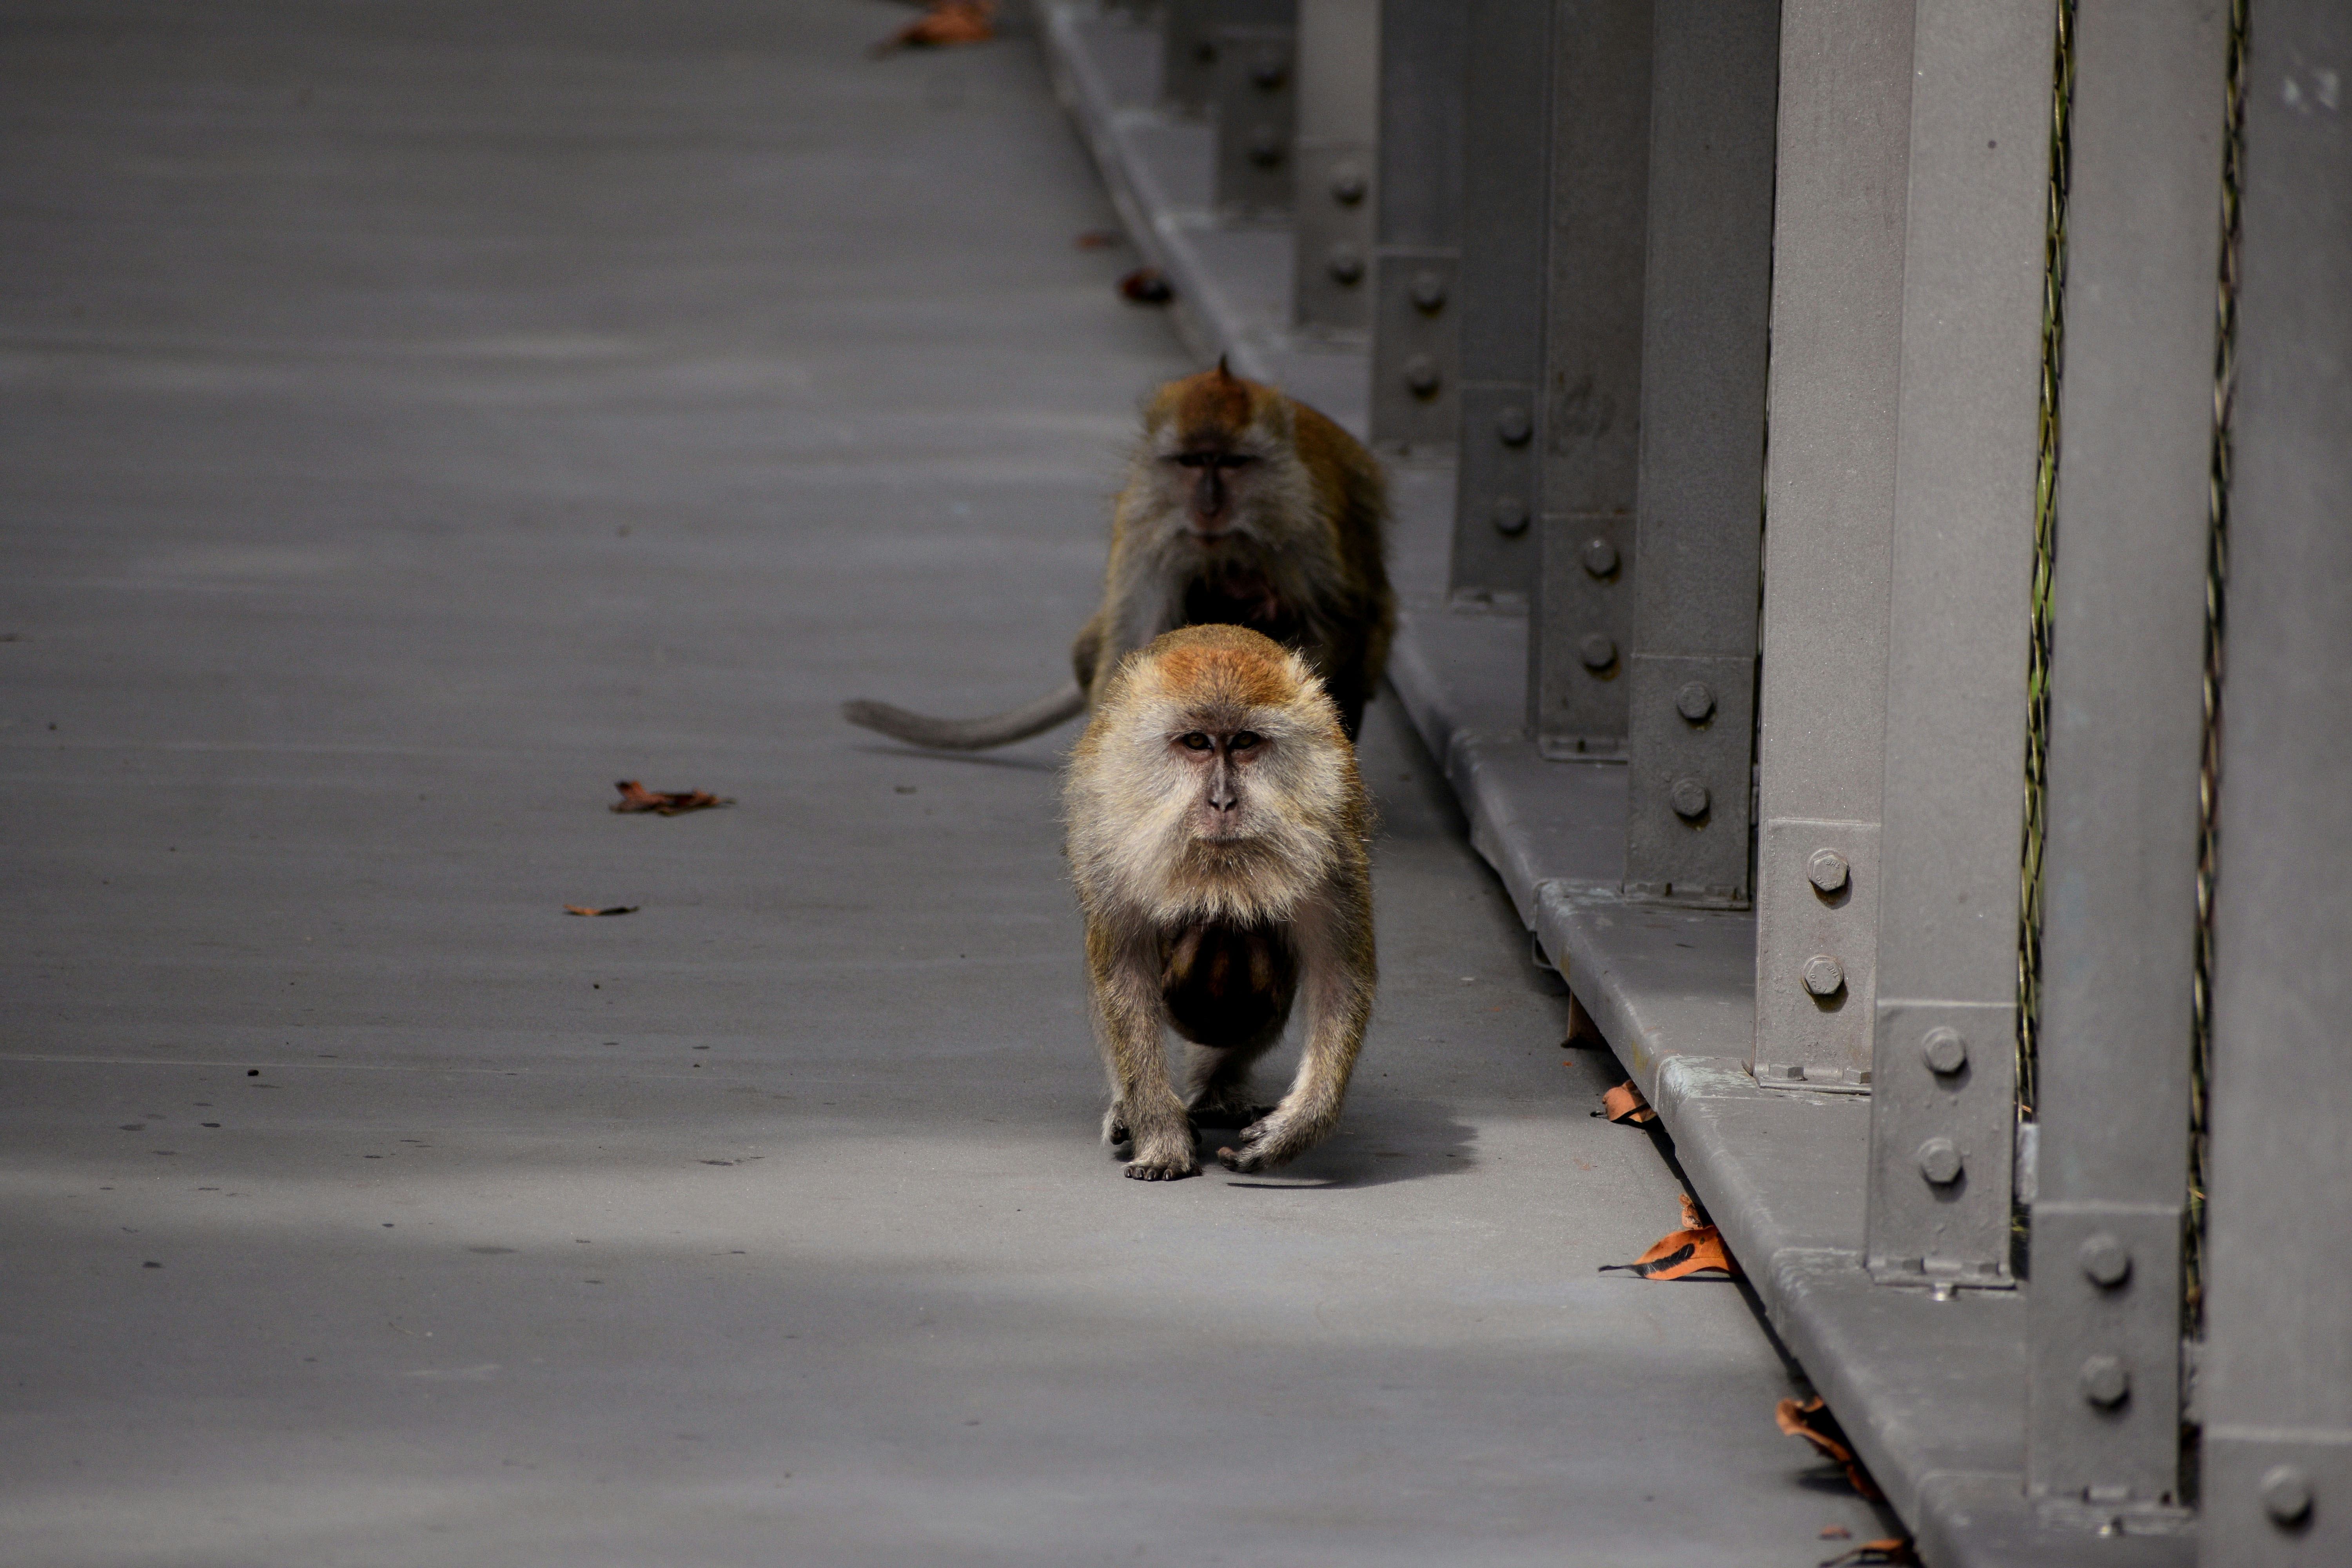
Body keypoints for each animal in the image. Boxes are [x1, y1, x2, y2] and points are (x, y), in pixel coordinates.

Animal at [843, 359, 1393, 750]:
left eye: (1233, 464)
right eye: (1192, 463)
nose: (1209, 505)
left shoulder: (1304, 524)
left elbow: (1333, 624)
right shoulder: (1146, 527)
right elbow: (1137, 648)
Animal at [1063, 623, 1376, 1180]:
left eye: (1246, 742)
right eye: (1197, 742)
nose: (1224, 802)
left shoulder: (1332, 835)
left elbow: (1339, 974)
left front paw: (1299, 1125)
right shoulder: (1107, 837)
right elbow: (1123, 971)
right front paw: (1160, 1134)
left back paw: (1217, 1090)